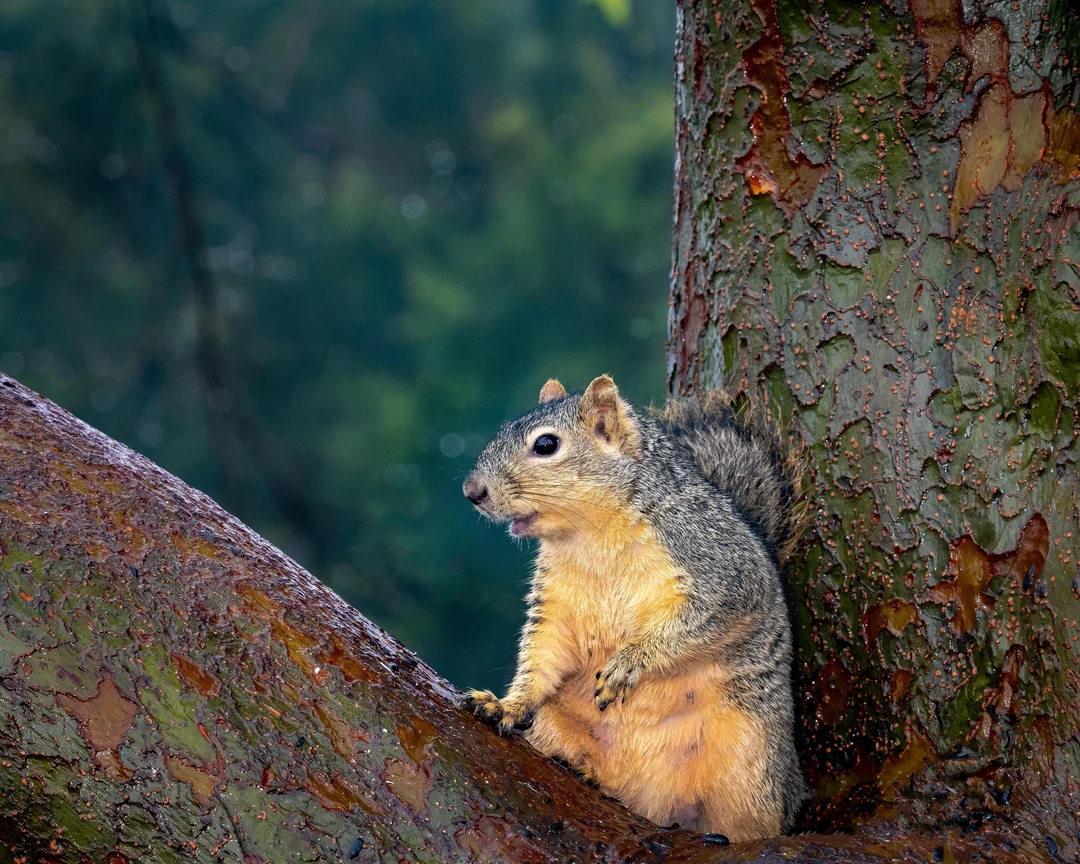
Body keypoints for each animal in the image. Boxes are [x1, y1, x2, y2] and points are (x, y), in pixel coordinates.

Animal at [461, 374, 808, 841]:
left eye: (546, 445)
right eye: (500, 430)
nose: (472, 492)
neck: (591, 534)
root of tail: (654, 803)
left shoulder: (721, 569)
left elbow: (700, 623)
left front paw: (629, 663)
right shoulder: (555, 603)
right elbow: (543, 655)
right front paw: (508, 704)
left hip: (752, 764)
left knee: (753, 824)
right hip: (555, 726)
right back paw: (585, 771)